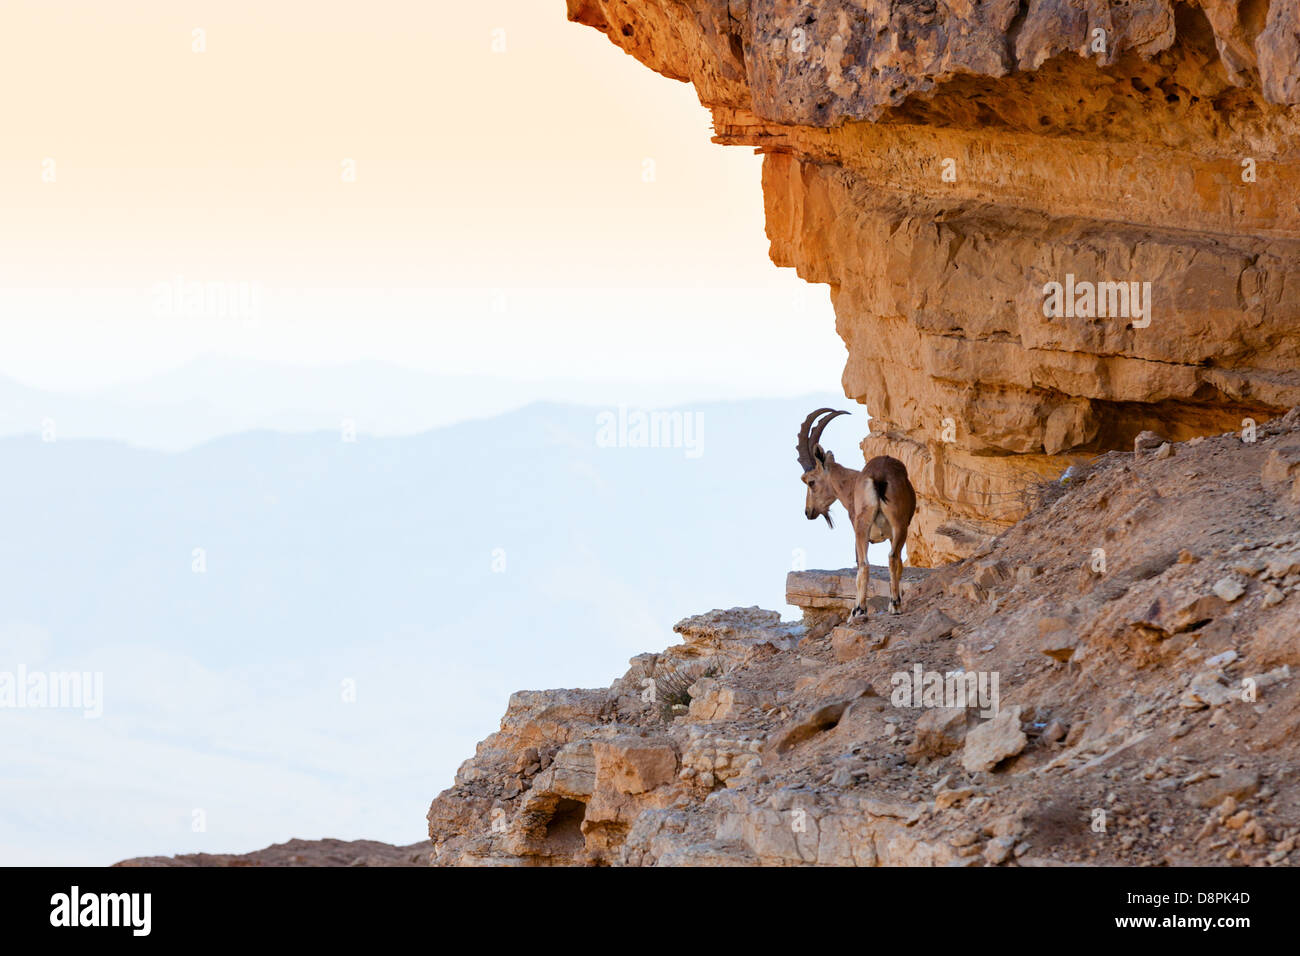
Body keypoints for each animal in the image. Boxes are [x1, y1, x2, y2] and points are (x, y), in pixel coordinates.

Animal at [796, 408, 917, 620]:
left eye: (810, 481)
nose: (808, 512)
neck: (851, 484)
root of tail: (879, 476)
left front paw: (857, 608)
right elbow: (901, 564)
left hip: (862, 526)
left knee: (864, 565)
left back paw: (859, 610)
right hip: (900, 524)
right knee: (893, 558)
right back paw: (895, 605)